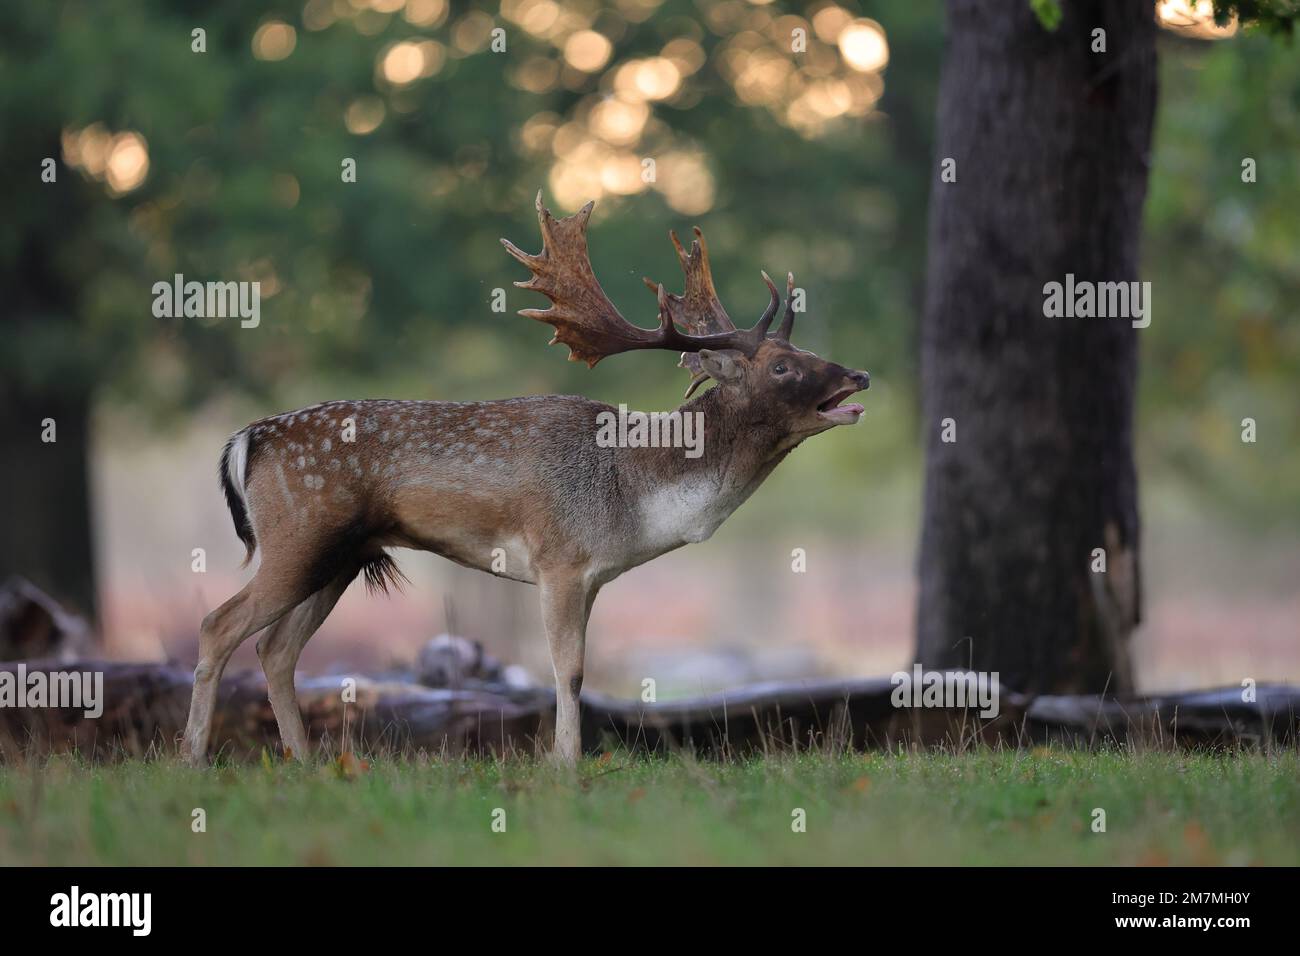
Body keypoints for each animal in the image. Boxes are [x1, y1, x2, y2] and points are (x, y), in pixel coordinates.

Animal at [181, 193, 869, 767]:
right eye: (782, 366)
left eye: (803, 354)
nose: (858, 376)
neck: (635, 494)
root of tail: (247, 439)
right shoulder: (559, 558)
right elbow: (568, 669)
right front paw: (565, 764)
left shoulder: (591, 576)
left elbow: (574, 668)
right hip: (299, 535)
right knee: (218, 625)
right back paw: (192, 759)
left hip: (340, 557)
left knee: (276, 650)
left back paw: (306, 762)